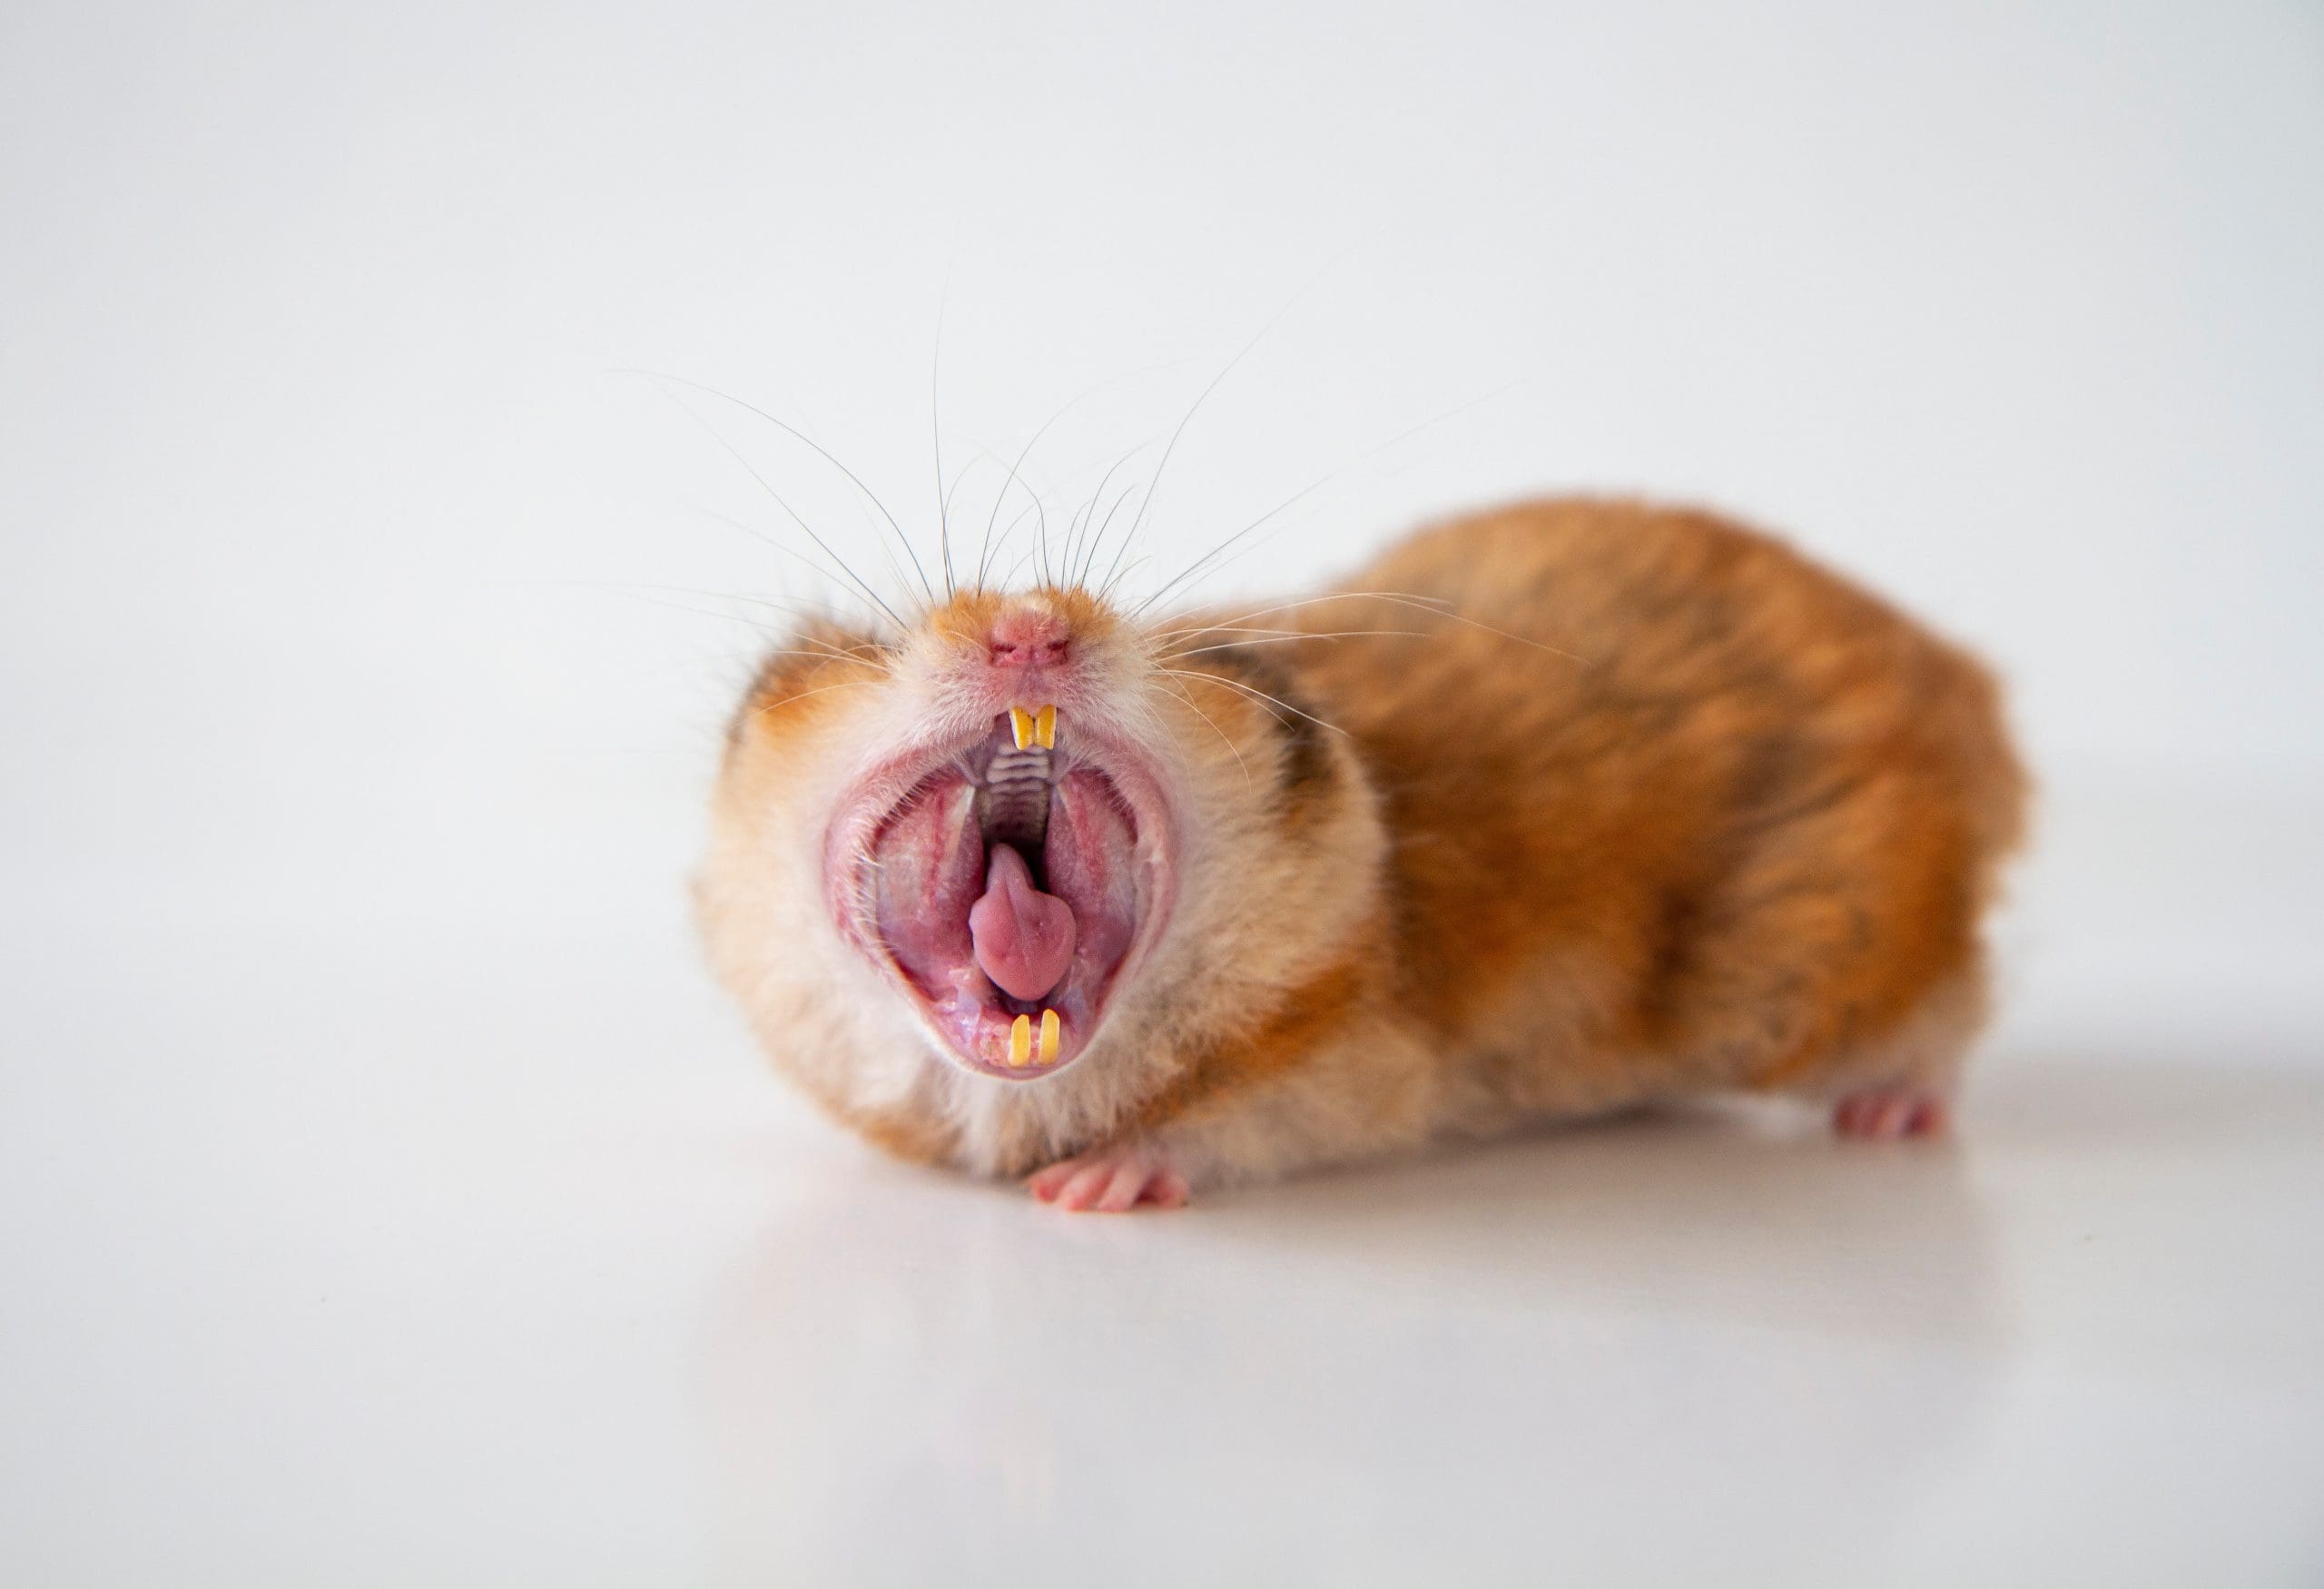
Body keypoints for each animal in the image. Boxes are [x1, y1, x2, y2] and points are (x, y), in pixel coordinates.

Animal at [697, 498, 2028, 1211]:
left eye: (1200, 656)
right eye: (869, 646)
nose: (1030, 630)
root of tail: (1960, 681)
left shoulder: (1359, 1066)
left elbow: (1216, 1121)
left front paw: (1086, 1189)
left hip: (1831, 975)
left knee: (1944, 1020)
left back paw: (1888, 1117)